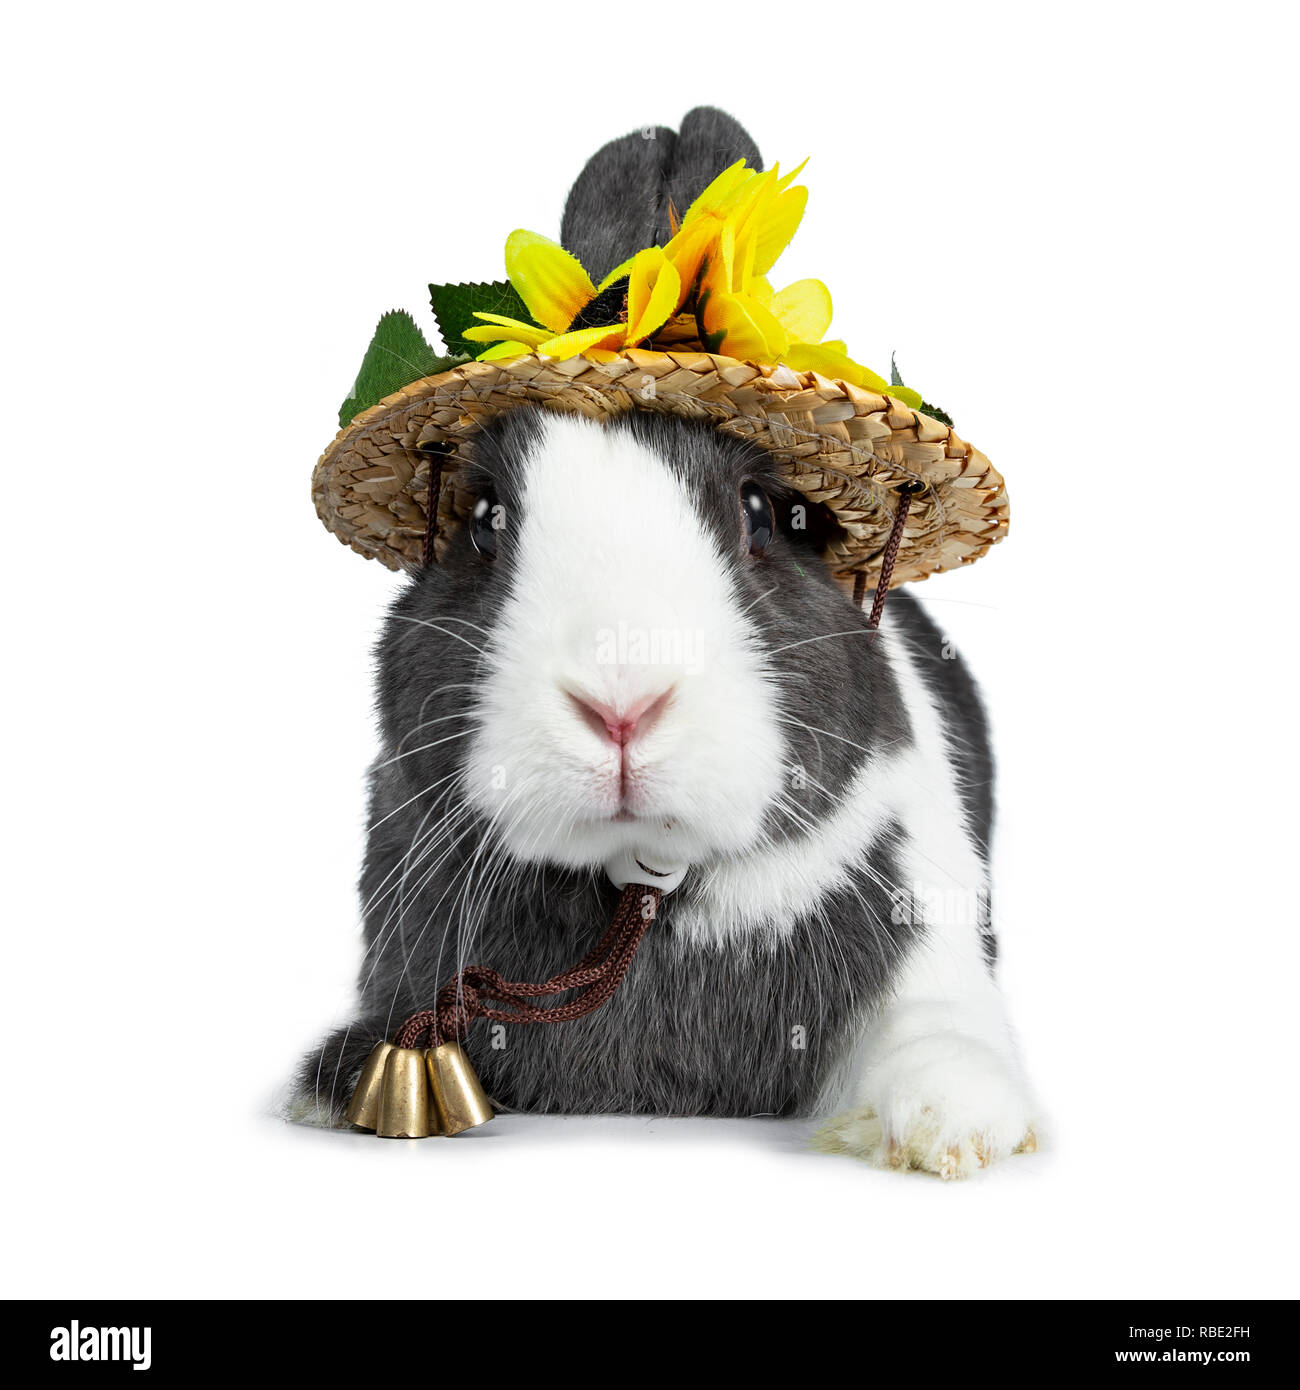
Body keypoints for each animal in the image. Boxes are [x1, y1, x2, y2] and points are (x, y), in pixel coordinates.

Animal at [290, 108, 1037, 1178]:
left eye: (767, 512)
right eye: (484, 520)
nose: (621, 705)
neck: (644, 893)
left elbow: (932, 1033)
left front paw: (951, 1127)